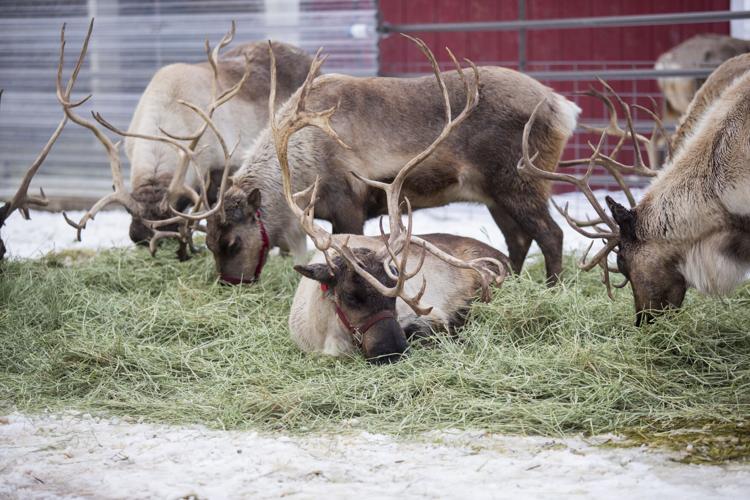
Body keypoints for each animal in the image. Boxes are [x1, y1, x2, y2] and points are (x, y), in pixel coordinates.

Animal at [166, 35, 581, 285]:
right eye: (209, 242)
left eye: (232, 242)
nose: (230, 283)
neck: (301, 162)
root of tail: (562, 106)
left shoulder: (348, 207)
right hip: (494, 195)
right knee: (518, 239)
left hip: (522, 182)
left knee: (551, 234)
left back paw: (552, 288)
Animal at [267, 38, 509, 363]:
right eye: (350, 296)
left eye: (394, 293)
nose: (392, 350)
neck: (325, 338)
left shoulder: (427, 311)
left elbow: (432, 325)